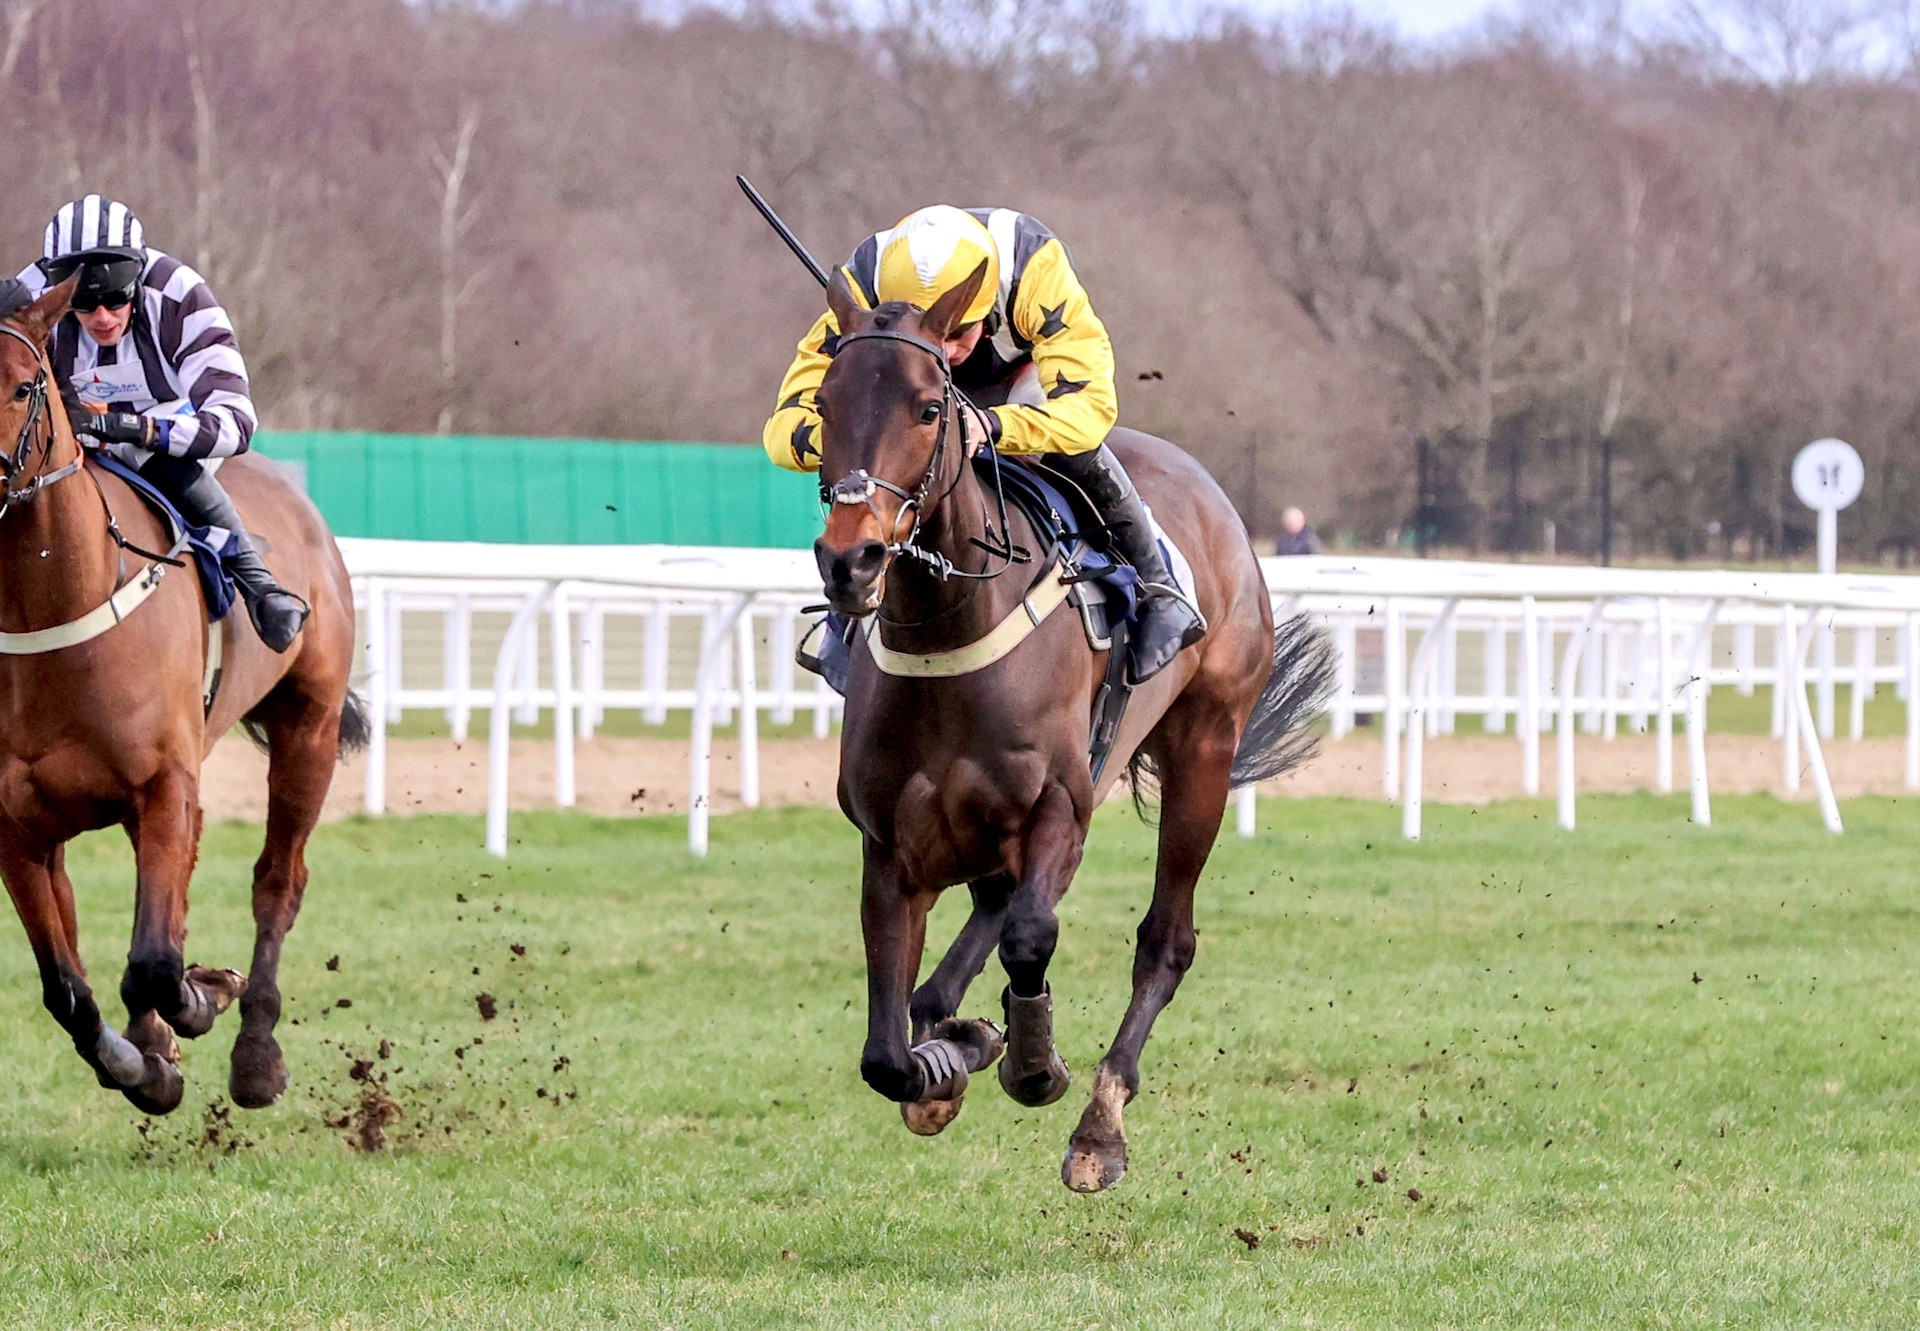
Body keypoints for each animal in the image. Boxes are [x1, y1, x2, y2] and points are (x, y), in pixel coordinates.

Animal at [0, 278, 366, 1115]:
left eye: (25, 384)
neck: (54, 613)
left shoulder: (166, 783)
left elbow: (157, 964)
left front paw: (202, 999)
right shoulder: (20, 825)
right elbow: (68, 986)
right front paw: (145, 1065)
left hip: (309, 727)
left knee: (277, 882)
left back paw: (256, 1051)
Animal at [810, 262, 1331, 1191]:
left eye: (929, 408)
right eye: (824, 405)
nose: (851, 559)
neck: (950, 631)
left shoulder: (1061, 805)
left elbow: (1030, 937)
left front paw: (1030, 1062)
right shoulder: (890, 845)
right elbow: (886, 1052)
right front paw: (951, 1054)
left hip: (1205, 746)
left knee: (1162, 939)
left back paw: (1100, 1119)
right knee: (983, 919)